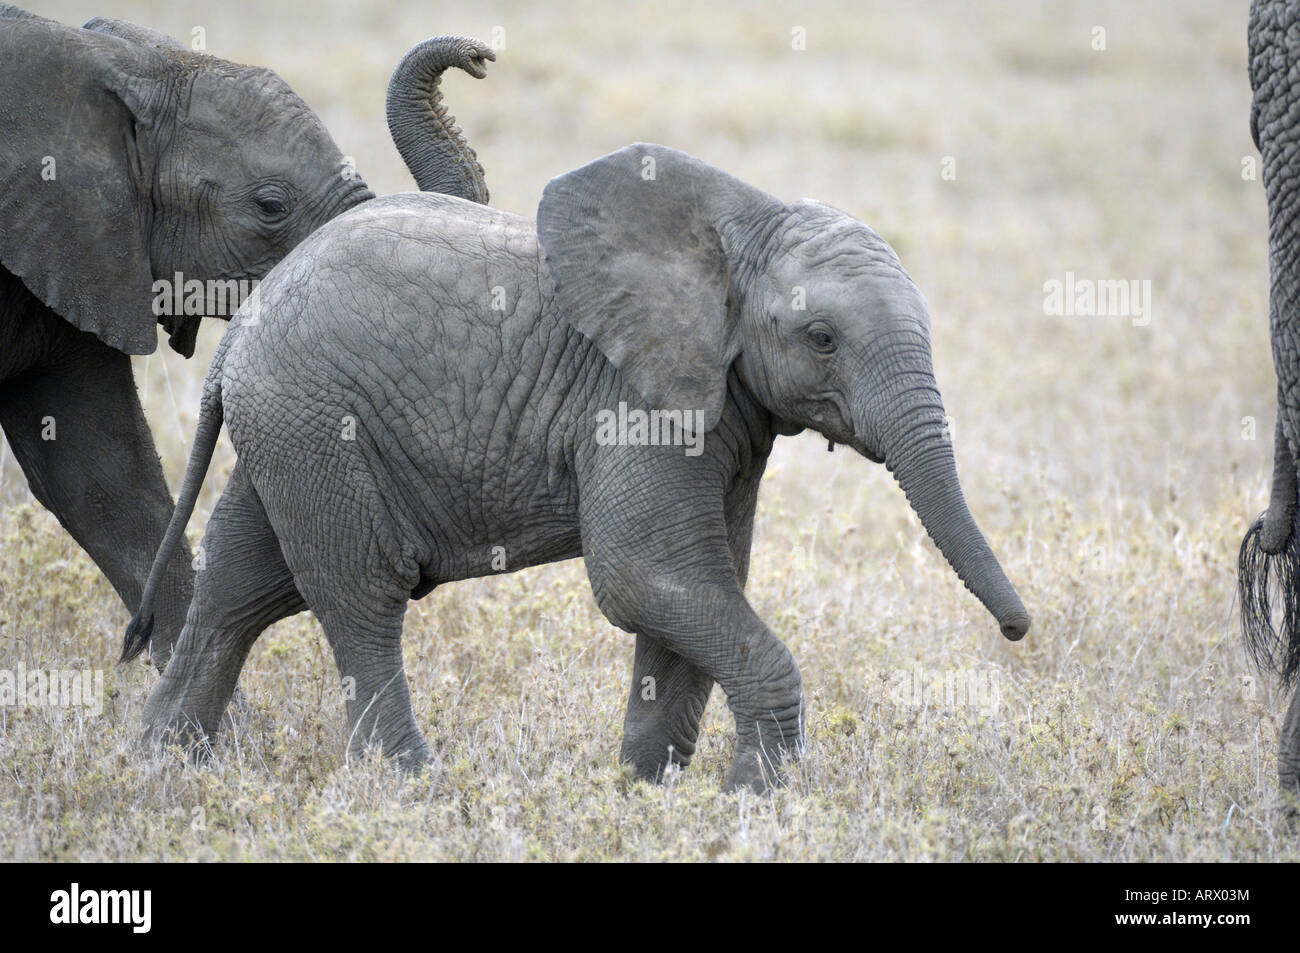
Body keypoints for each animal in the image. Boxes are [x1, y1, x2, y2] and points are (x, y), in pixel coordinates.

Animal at [126, 143, 1030, 793]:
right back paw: (411, 788)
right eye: (822, 338)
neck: (742, 225)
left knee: (244, 584)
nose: (1019, 630)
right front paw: (756, 797)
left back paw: (163, 766)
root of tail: (239, 333)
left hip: (287, 426)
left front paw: (647, 792)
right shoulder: (632, 399)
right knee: (359, 590)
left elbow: (699, 586)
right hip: (314, 416)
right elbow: (644, 576)